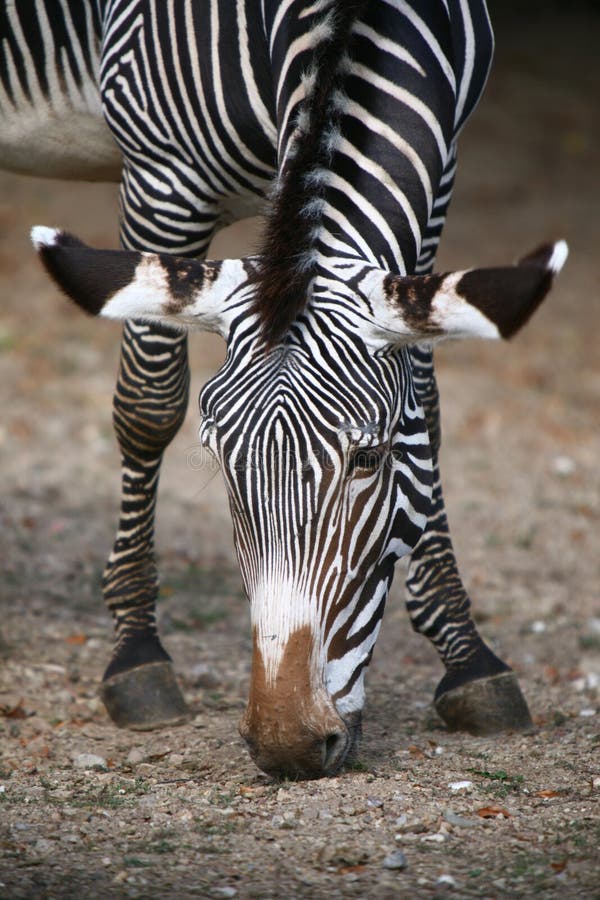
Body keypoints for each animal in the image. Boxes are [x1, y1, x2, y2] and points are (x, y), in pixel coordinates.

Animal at [2, 1, 566, 778]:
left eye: (370, 460)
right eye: (217, 461)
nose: (287, 743)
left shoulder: (438, 174)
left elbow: (426, 410)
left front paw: (466, 654)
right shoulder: (160, 175)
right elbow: (149, 405)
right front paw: (136, 652)